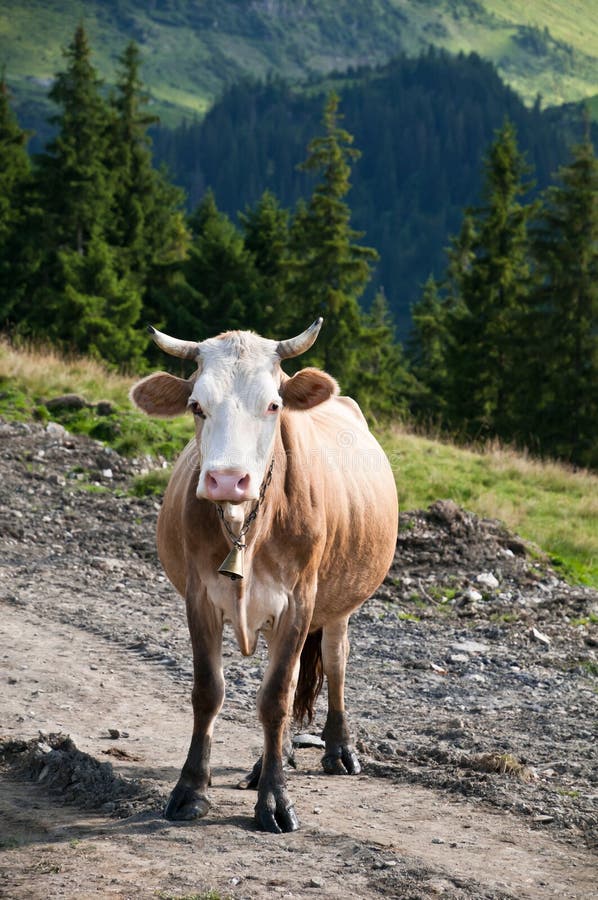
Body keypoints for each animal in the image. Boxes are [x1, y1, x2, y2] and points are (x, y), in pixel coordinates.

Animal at [130, 318, 398, 833]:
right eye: (197, 405)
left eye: (273, 404)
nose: (226, 480)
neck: (245, 526)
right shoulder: (199, 597)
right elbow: (208, 691)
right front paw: (191, 789)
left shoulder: (298, 601)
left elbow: (275, 697)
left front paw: (274, 800)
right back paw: (273, 760)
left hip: (339, 603)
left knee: (333, 661)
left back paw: (338, 749)